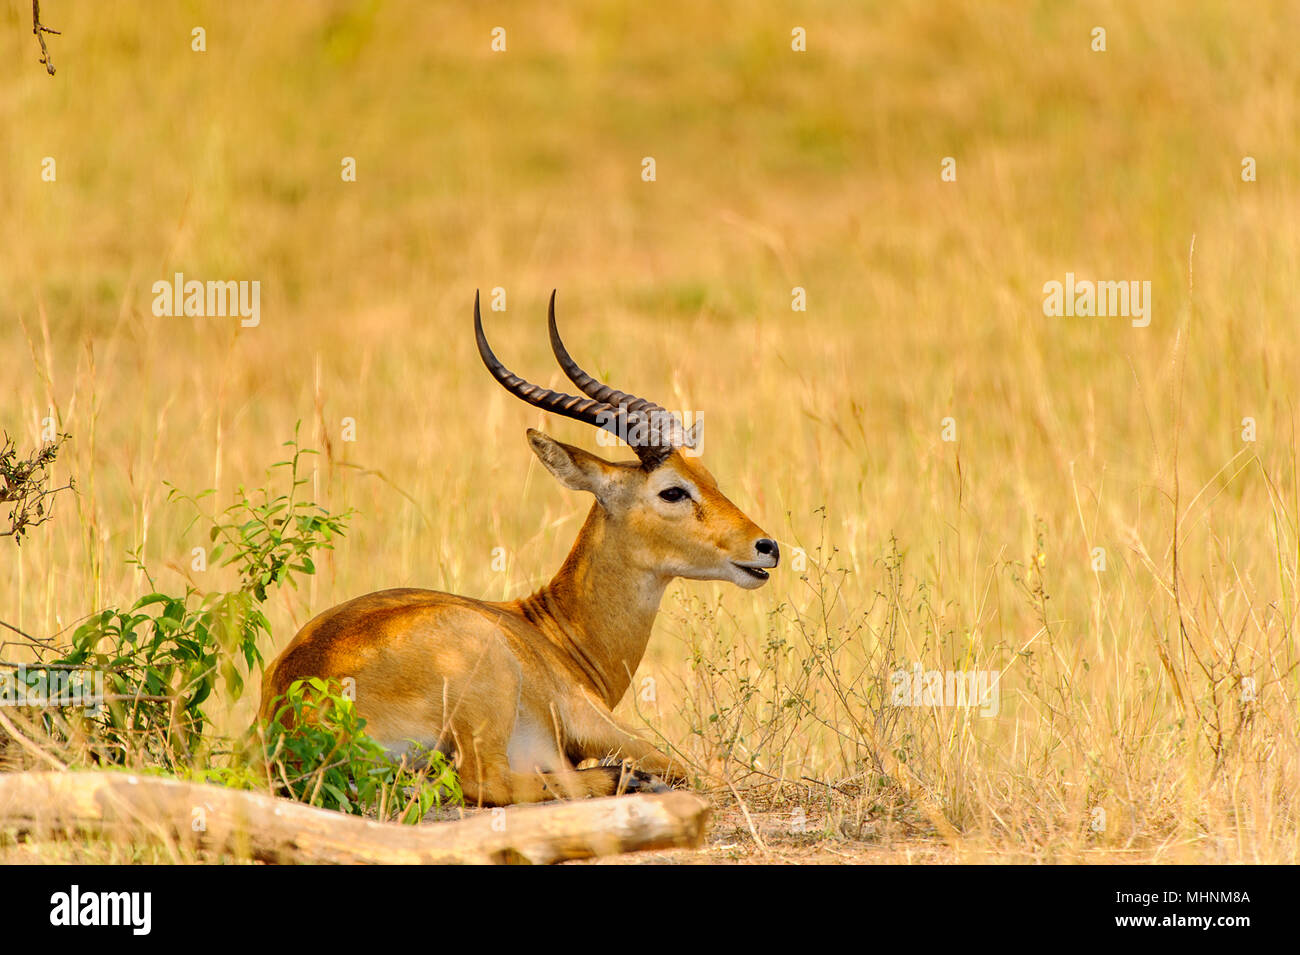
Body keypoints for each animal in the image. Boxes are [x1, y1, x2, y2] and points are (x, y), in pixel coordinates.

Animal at [258, 291, 780, 805]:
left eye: (708, 478)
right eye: (672, 491)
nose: (767, 547)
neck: (554, 631)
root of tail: (298, 713)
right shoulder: (588, 717)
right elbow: (683, 765)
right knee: (486, 781)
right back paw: (627, 780)